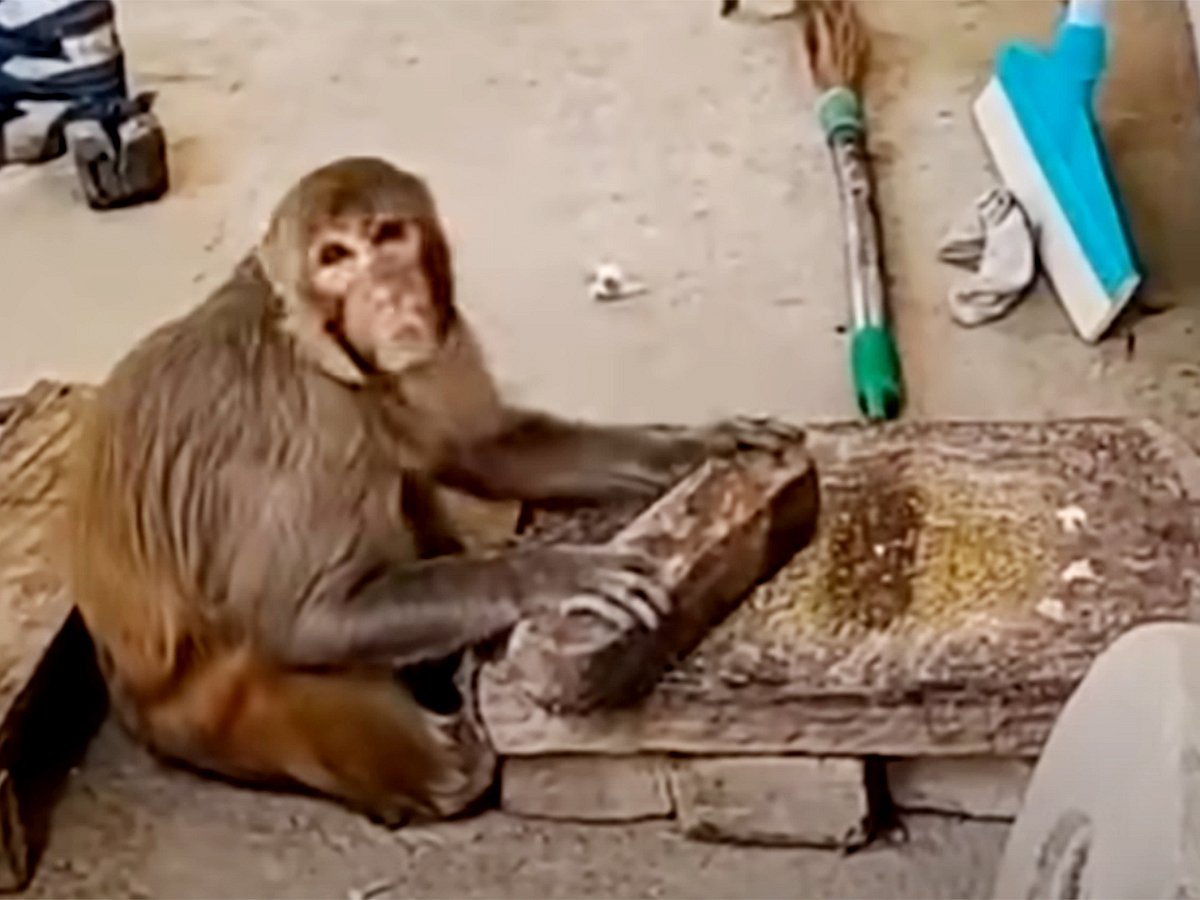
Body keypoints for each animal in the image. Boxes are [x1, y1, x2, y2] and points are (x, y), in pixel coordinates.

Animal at [64, 156, 802, 826]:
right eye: (336, 258)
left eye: (389, 236)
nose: (390, 294)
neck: (317, 346)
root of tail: (127, 699)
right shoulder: (305, 427)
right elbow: (303, 620)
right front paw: (548, 576)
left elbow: (481, 450)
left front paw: (699, 447)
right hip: (219, 714)